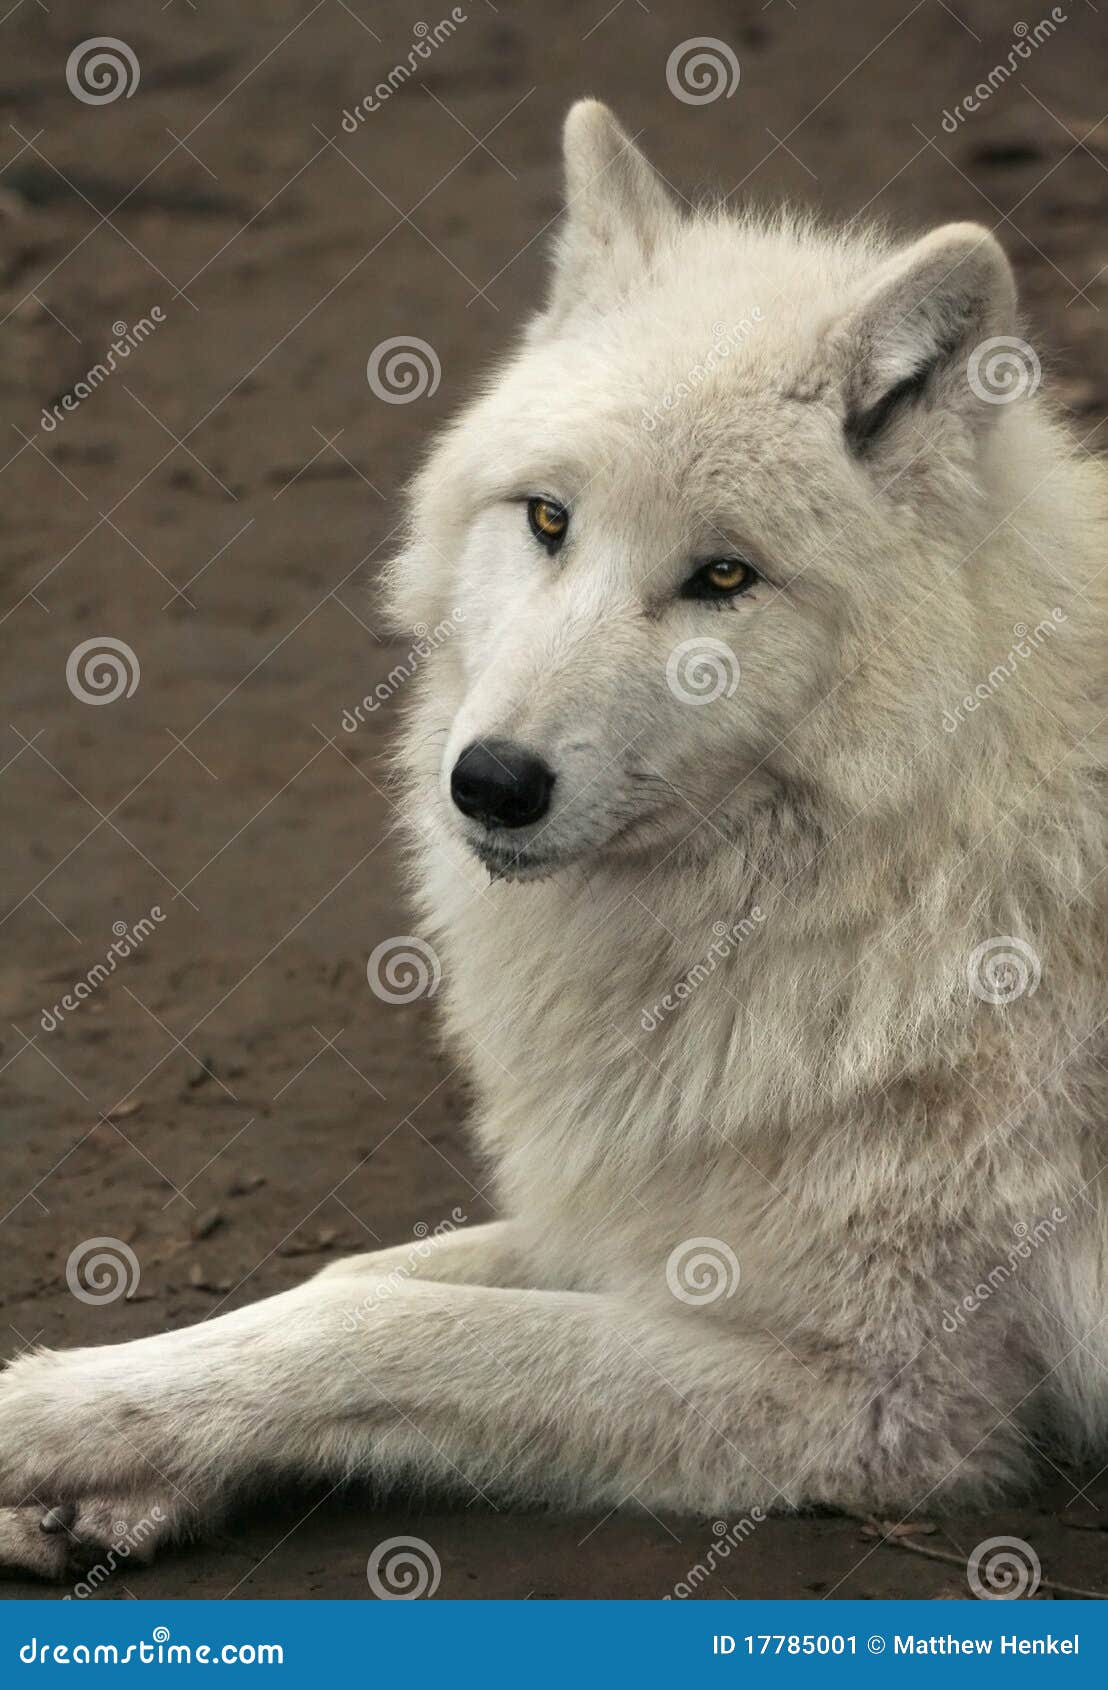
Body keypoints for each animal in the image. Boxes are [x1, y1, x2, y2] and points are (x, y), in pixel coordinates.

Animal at [1, 101, 1105, 1581]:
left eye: (723, 577)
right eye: (546, 519)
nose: (491, 783)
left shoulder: (885, 1395)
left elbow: (379, 1327)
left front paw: (51, 1413)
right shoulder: (643, 1213)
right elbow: (356, 1278)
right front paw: (111, 1465)